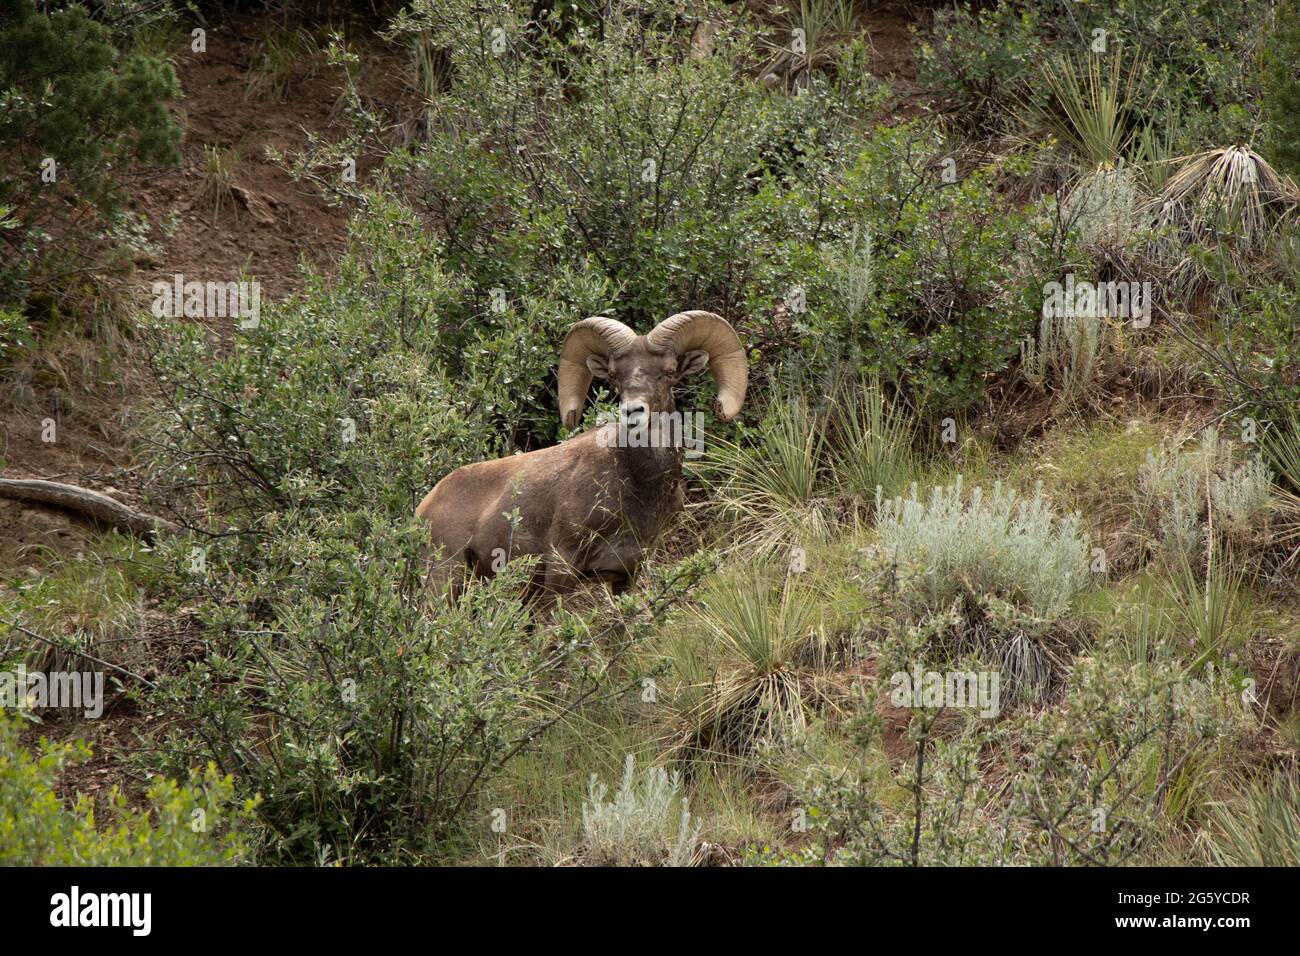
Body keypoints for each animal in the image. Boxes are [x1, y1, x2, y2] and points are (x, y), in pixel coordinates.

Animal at [416, 310, 747, 599]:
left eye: (669, 372)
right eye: (614, 375)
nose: (632, 411)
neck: (639, 487)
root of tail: (426, 506)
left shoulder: (627, 574)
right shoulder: (561, 568)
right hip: (445, 578)